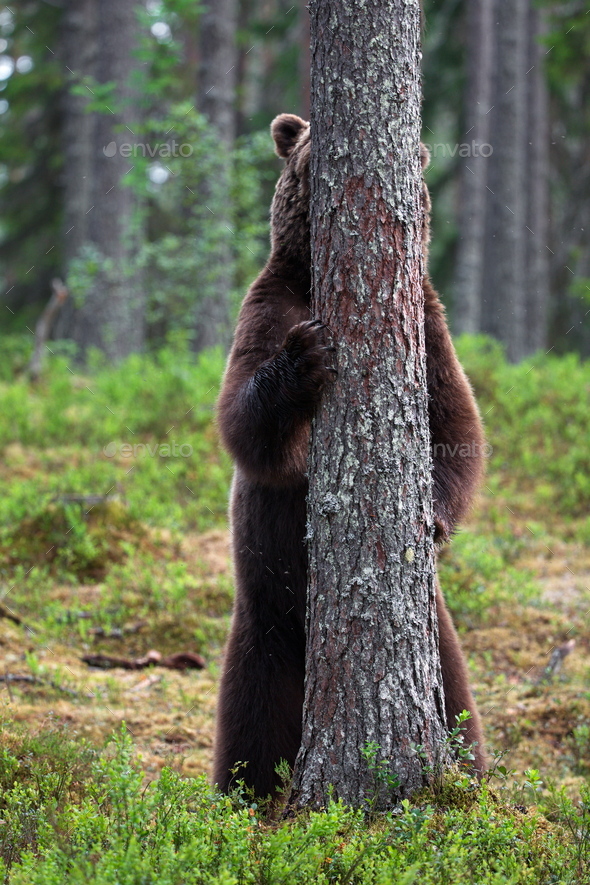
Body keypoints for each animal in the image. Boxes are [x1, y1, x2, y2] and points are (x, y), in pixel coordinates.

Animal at [213, 113, 487, 798]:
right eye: (312, 145)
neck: (315, 281)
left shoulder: (425, 322)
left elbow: (457, 422)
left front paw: (433, 516)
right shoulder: (267, 304)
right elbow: (245, 421)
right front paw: (304, 358)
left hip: (434, 636)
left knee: (455, 706)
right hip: (264, 618)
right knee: (251, 720)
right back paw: (244, 792)